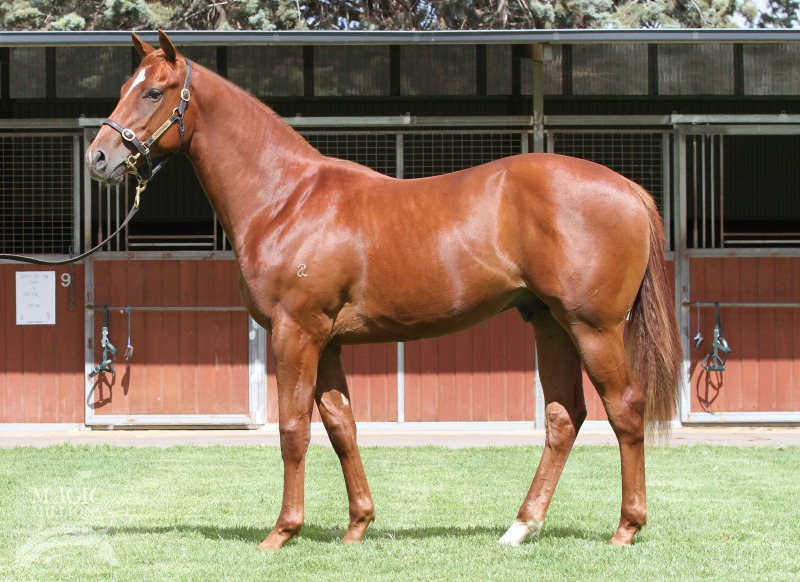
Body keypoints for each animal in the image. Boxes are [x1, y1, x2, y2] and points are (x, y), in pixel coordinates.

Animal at [86, 31, 682, 550]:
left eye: (154, 91)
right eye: (126, 86)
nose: (98, 158)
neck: (286, 199)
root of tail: (627, 188)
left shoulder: (295, 333)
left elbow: (293, 430)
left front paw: (282, 533)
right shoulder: (326, 342)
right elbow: (341, 426)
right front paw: (357, 527)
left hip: (593, 327)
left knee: (624, 408)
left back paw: (626, 528)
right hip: (550, 323)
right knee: (564, 416)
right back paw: (520, 528)